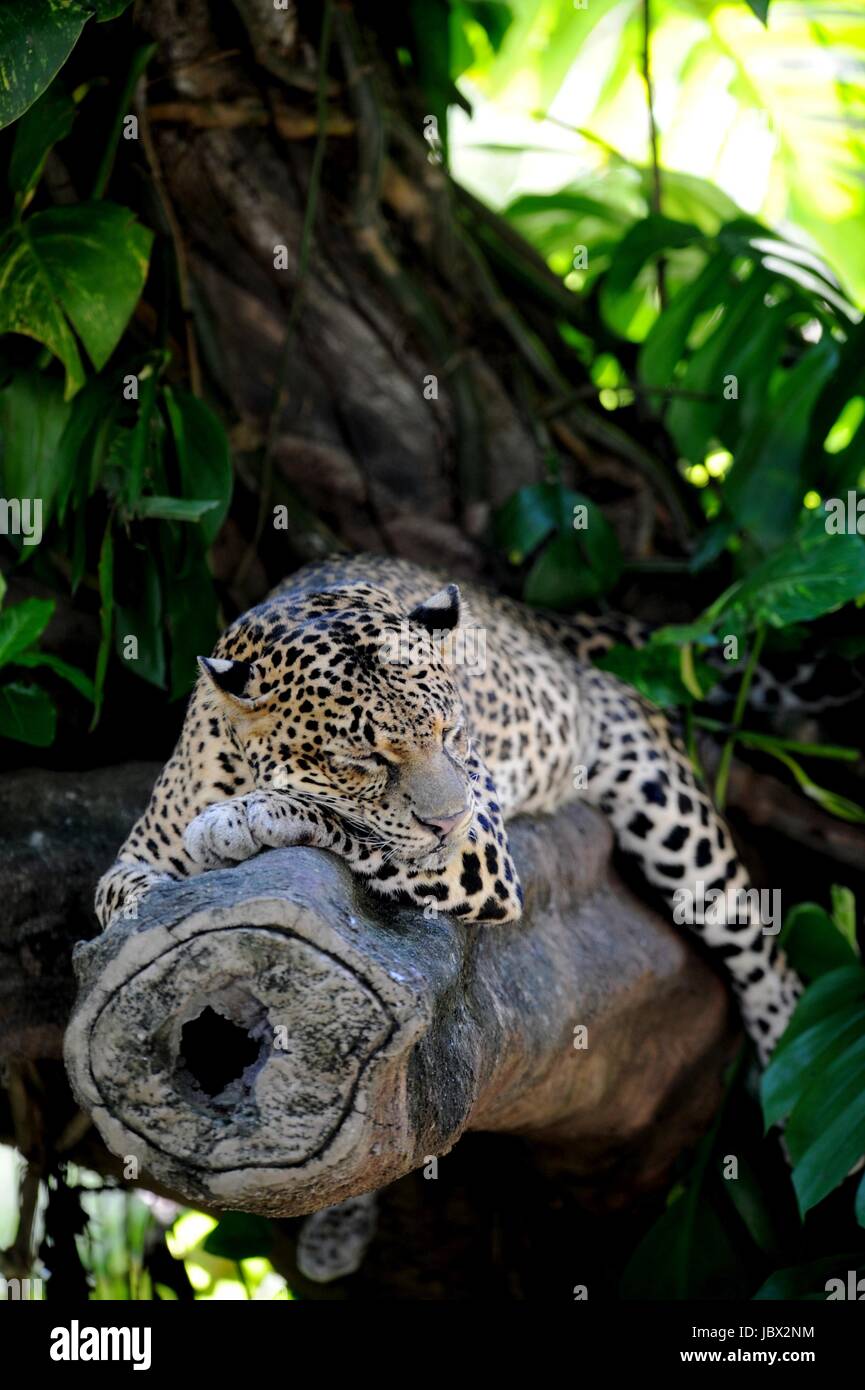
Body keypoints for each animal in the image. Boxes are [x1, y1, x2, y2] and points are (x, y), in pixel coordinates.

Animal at [96, 551, 803, 1066]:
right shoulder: (132, 854)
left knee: (766, 958)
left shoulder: (479, 848)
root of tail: (545, 623)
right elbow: (120, 898)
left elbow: (353, 826)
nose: (450, 818)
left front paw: (248, 817)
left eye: (451, 731)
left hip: (670, 816)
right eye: (365, 759)